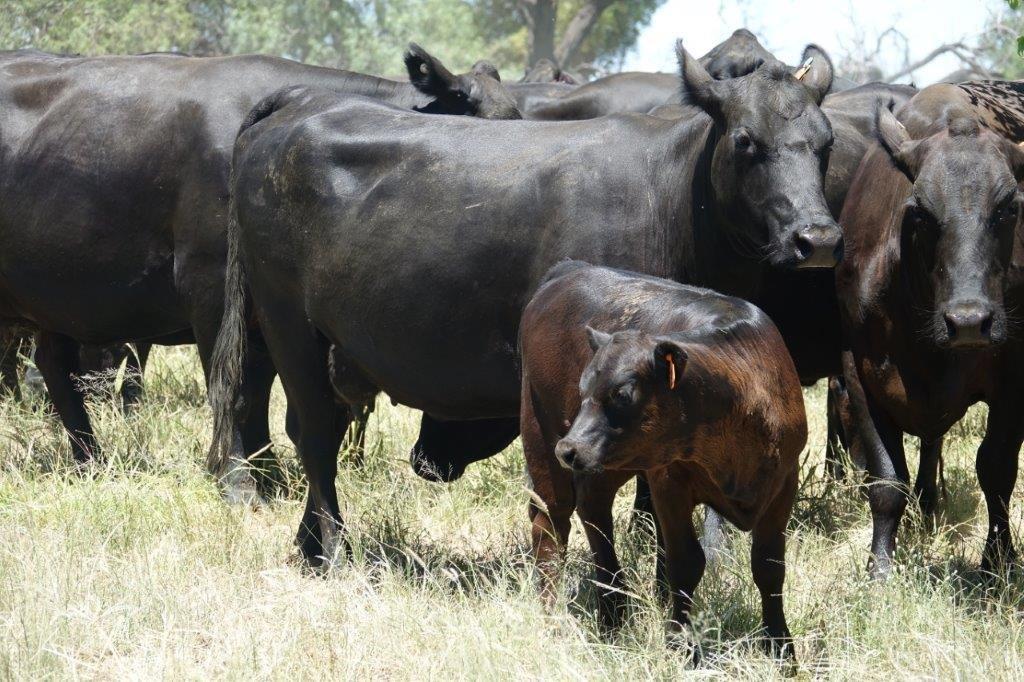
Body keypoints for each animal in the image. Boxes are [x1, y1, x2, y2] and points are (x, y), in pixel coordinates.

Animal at [0, 44, 520, 501]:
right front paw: (241, 484)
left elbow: (260, 396)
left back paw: (89, 459)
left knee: (54, 368)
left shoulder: (267, 308)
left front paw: (268, 474)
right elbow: (234, 390)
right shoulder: (211, 289)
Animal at [209, 41, 839, 564]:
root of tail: (302, 102)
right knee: (313, 431)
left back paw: (310, 544)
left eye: (827, 143)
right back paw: (335, 550)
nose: (817, 239)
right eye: (746, 140)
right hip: (290, 327)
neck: (670, 200)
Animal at [519, 262, 806, 660]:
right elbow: (685, 562)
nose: (569, 448)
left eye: (623, 394)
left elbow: (769, 566)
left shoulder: (784, 482)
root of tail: (571, 269)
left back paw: (614, 610)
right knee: (551, 523)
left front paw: (781, 647)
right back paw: (564, 614)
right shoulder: (669, 480)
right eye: (583, 390)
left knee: (593, 511)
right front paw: (679, 645)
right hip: (539, 431)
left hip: (606, 464)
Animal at [836, 100, 1024, 579]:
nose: (969, 321)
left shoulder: (1016, 377)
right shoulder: (858, 371)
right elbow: (886, 479)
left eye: (1009, 207)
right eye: (920, 211)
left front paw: (997, 562)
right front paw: (880, 567)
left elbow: (996, 469)